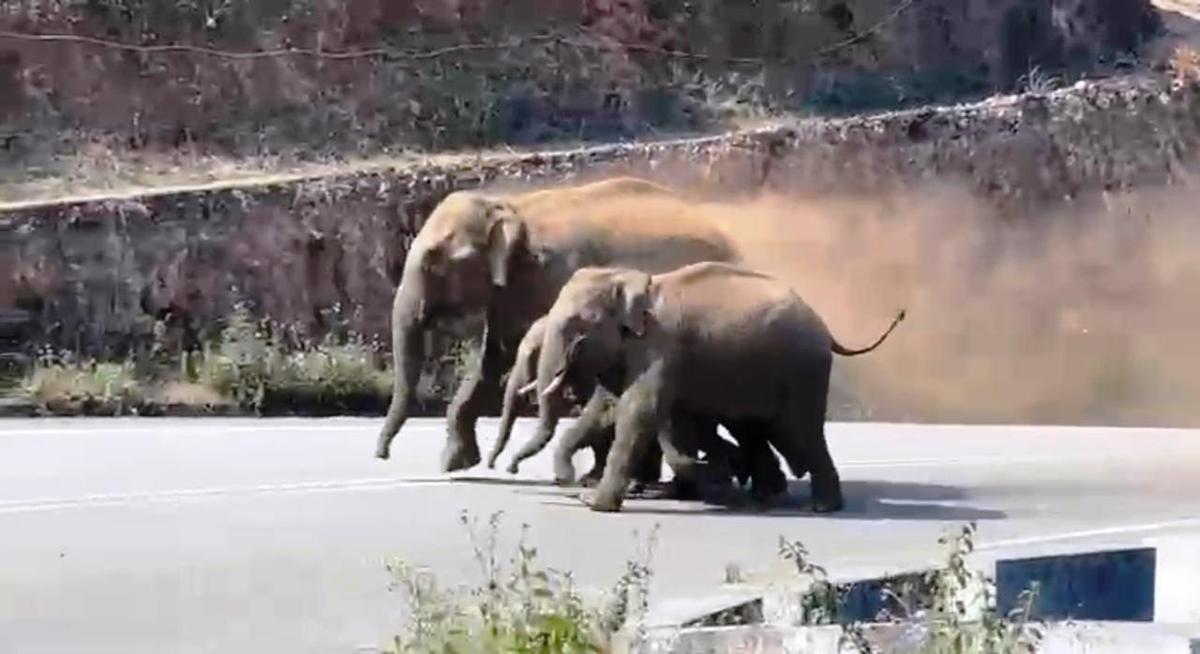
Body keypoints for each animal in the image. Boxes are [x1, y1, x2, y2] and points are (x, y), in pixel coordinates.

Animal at [373, 176, 743, 473]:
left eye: (433, 260)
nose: (382, 455)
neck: (510, 208)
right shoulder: (510, 290)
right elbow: (494, 359)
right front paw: (455, 465)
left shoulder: (552, 276)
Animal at [531, 261, 906, 513]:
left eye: (576, 325)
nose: (568, 483)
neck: (631, 280)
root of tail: (827, 329)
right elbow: (619, 408)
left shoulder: (660, 349)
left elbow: (639, 413)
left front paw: (595, 503)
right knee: (764, 430)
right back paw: (768, 495)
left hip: (803, 371)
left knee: (798, 430)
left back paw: (818, 507)